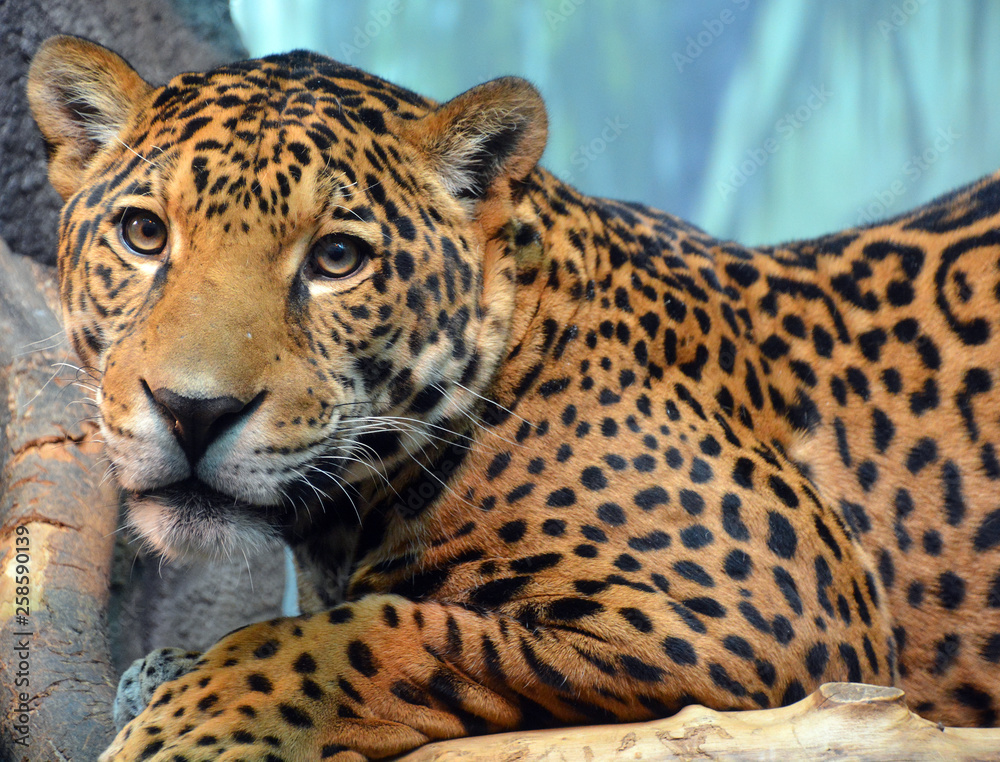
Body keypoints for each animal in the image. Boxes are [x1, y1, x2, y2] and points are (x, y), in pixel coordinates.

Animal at [26, 34, 1000, 762]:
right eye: (143, 235)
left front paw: (184, 725)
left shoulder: (770, 616)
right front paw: (159, 674)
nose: (191, 412)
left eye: (337, 259)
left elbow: (368, 631)